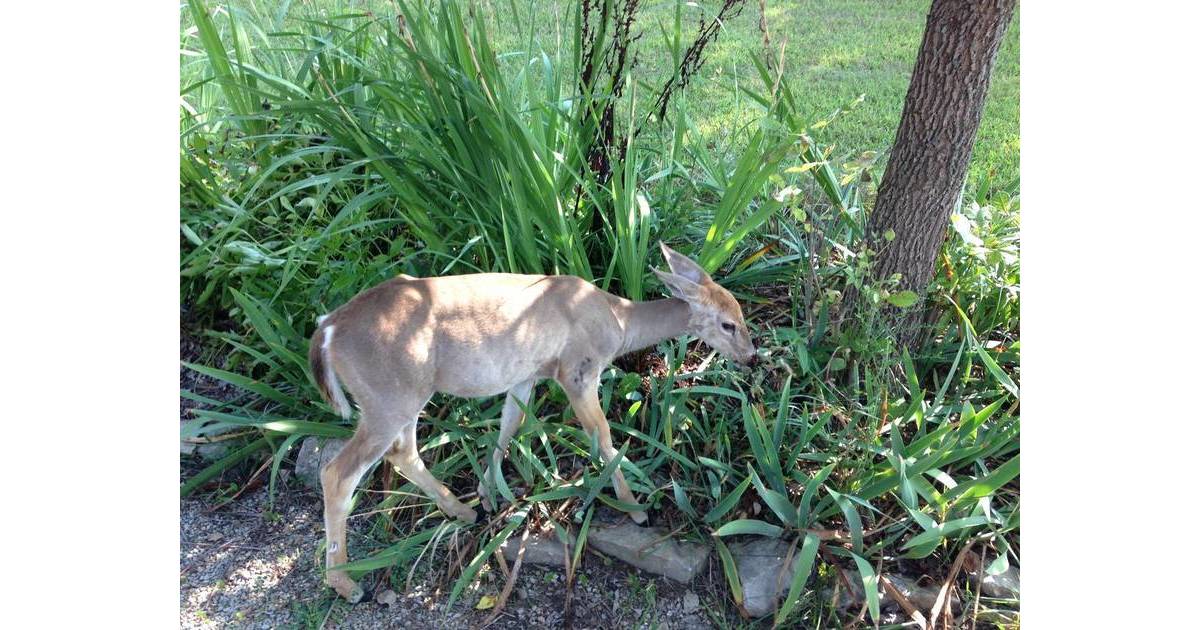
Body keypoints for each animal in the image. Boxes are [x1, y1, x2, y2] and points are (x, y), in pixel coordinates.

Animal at [307, 242, 757, 602]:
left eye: (740, 312)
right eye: (728, 323)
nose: (752, 357)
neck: (617, 319)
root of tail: (327, 329)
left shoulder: (526, 375)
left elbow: (508, 427)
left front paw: (490, 494)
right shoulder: (577, 371)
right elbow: (603, 436)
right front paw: (635, 508)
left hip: (402, 398)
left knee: (404, 454)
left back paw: (463, 512)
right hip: (388, 398)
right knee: (338, 473)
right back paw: (347, 585)